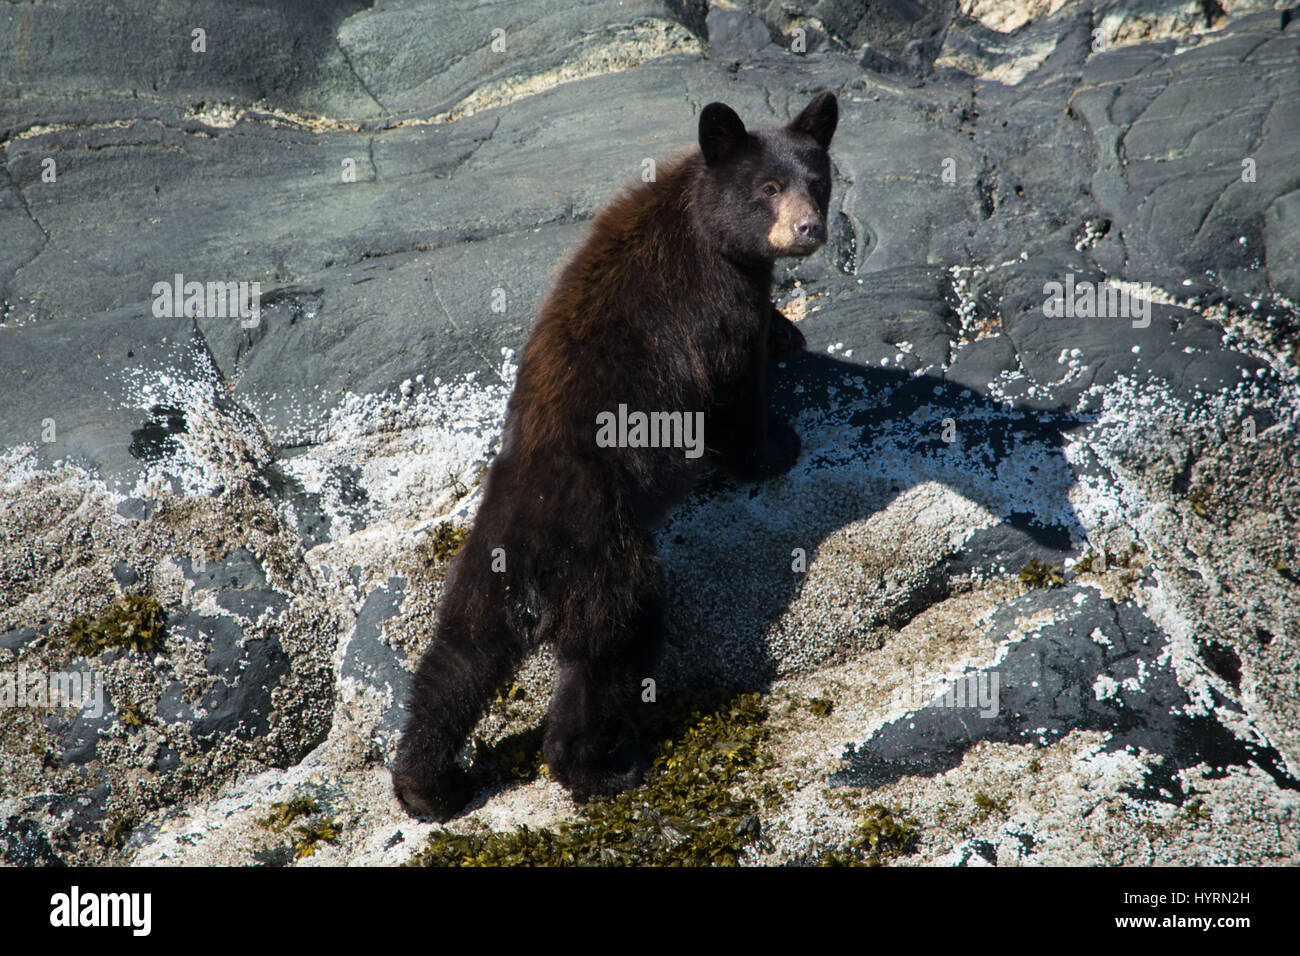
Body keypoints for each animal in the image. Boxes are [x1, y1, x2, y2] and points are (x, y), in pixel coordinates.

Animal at [393, 91, 839, 820]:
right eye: (768, 189)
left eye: (818, 180)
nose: (807, 229)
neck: (701, 222)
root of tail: (528, 561)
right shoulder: (715, 303)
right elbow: (734, 386)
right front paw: (775, 445)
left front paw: (790, 335)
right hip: (607, 567)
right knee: (610, 655)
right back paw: (604, 768)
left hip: (474, 582)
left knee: (454, 665)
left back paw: (426, 785)